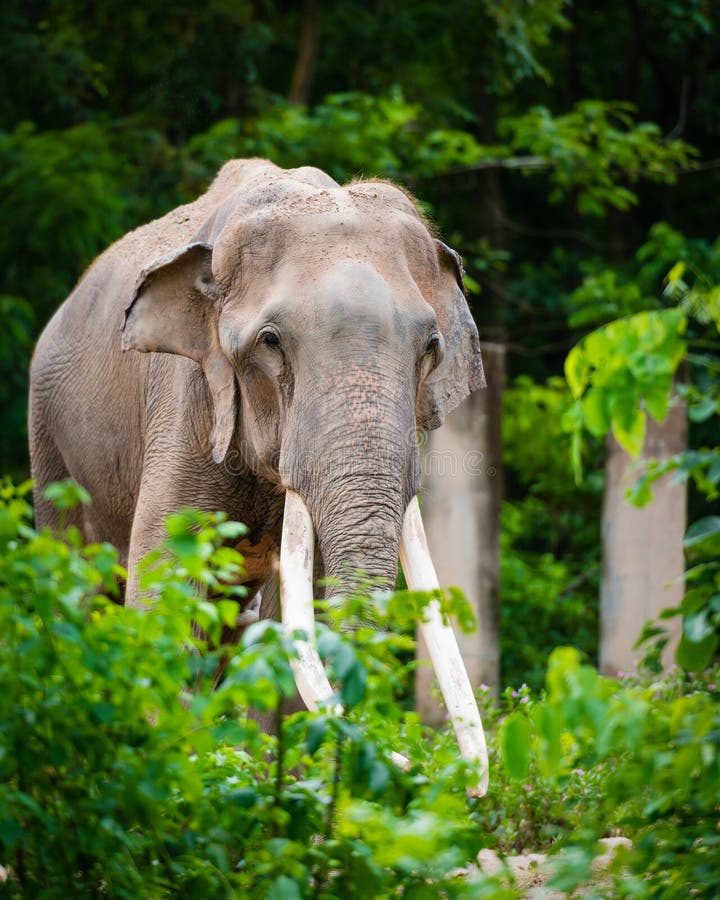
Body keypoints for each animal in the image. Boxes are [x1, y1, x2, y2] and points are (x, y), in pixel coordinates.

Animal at [29, 158, 488, 793]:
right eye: (271, 342)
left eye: (431, 347)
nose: (422, 766)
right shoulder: (186, 395)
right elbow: (168, 580)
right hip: (49, 438)